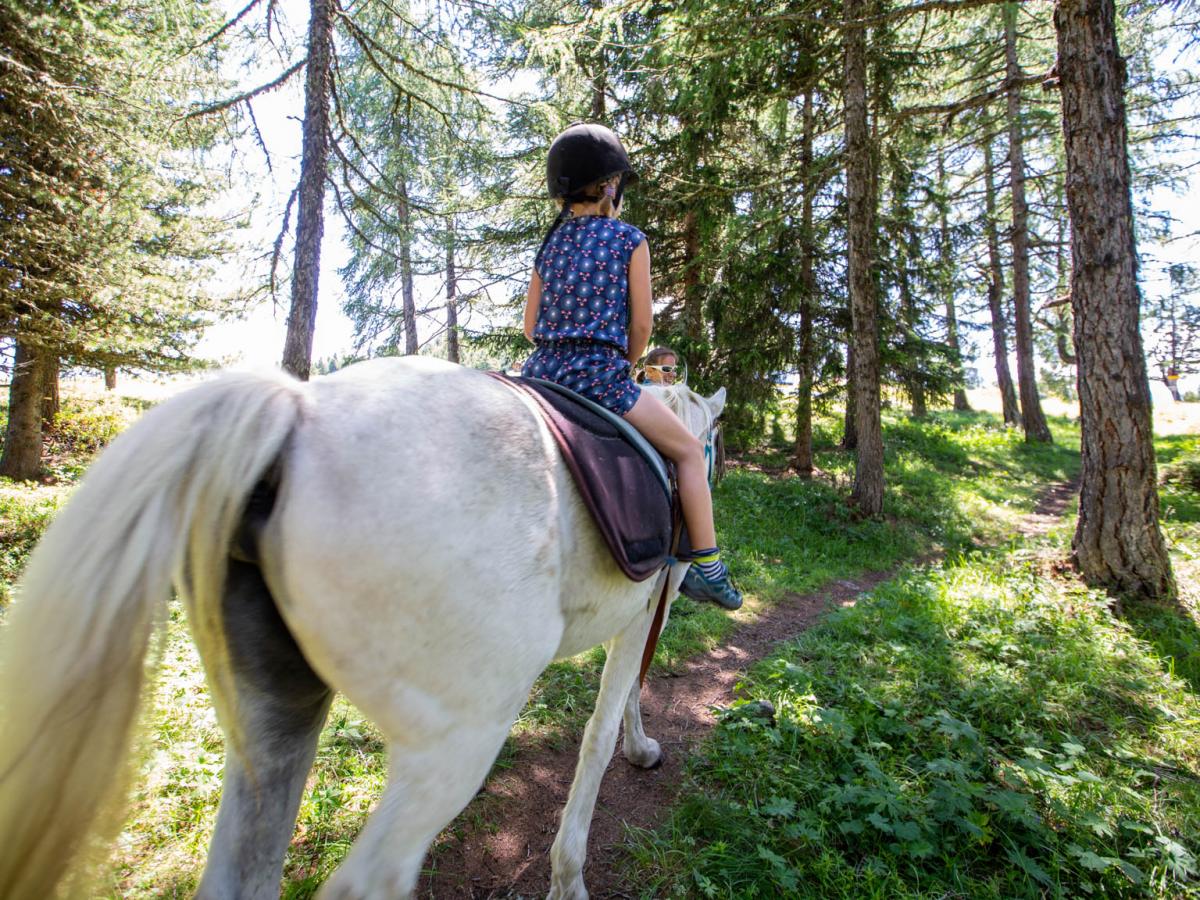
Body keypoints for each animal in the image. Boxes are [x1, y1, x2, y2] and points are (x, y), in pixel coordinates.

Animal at [0, 356, 726, 899]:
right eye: (712, 447)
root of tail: (296, 410)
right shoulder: (650, 606)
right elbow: (604, 726)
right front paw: (575, 866)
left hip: (271, 718)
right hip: (456, 739)